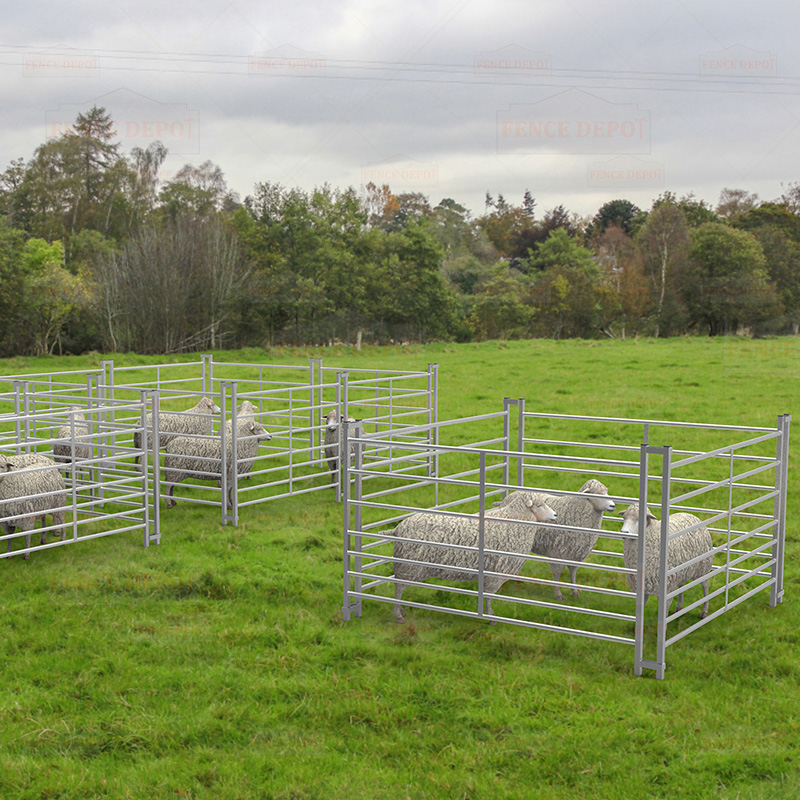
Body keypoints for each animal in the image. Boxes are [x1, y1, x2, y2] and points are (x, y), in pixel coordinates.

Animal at [391, 492, 558, 623]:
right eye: (539, 505)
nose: (555, 515)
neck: (513, 522)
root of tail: (398, 528)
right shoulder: (495, 573)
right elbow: (489, 597)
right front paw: (491, 616)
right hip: (408, 567)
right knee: (398, 588)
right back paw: (398, 615)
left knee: (398, 587)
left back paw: (401, 609)